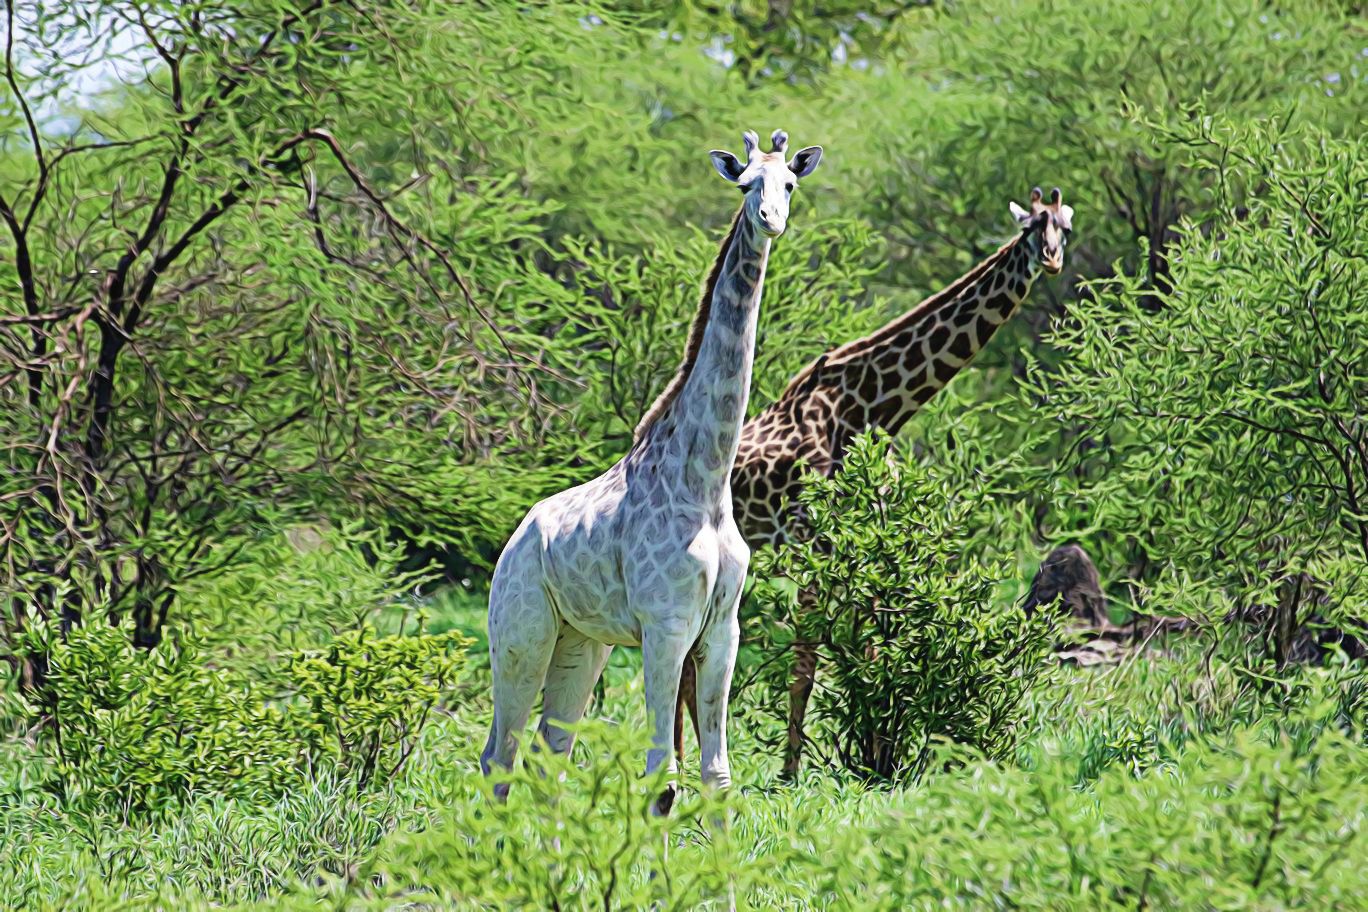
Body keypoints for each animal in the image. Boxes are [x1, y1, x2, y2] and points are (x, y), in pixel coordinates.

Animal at [481, 129, 823, 812]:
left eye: (789, 183)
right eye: (745, 184)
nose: (770, 219)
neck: (706, 482)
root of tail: (515, 539)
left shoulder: (722, 630)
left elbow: (717, 776)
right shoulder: (665, 627)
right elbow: (659, 778)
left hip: (580, 645)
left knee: (548, 760)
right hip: (521, 635)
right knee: (498, 759)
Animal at [677, 186, 1073, 778]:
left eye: (1063, 228)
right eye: (1030, 229)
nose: (1051, 259)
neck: (870, 409)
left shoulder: (864, 538)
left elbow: (870, 652)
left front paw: (875, 755)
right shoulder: (811, 540)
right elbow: (806, 663)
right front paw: (789, 773)